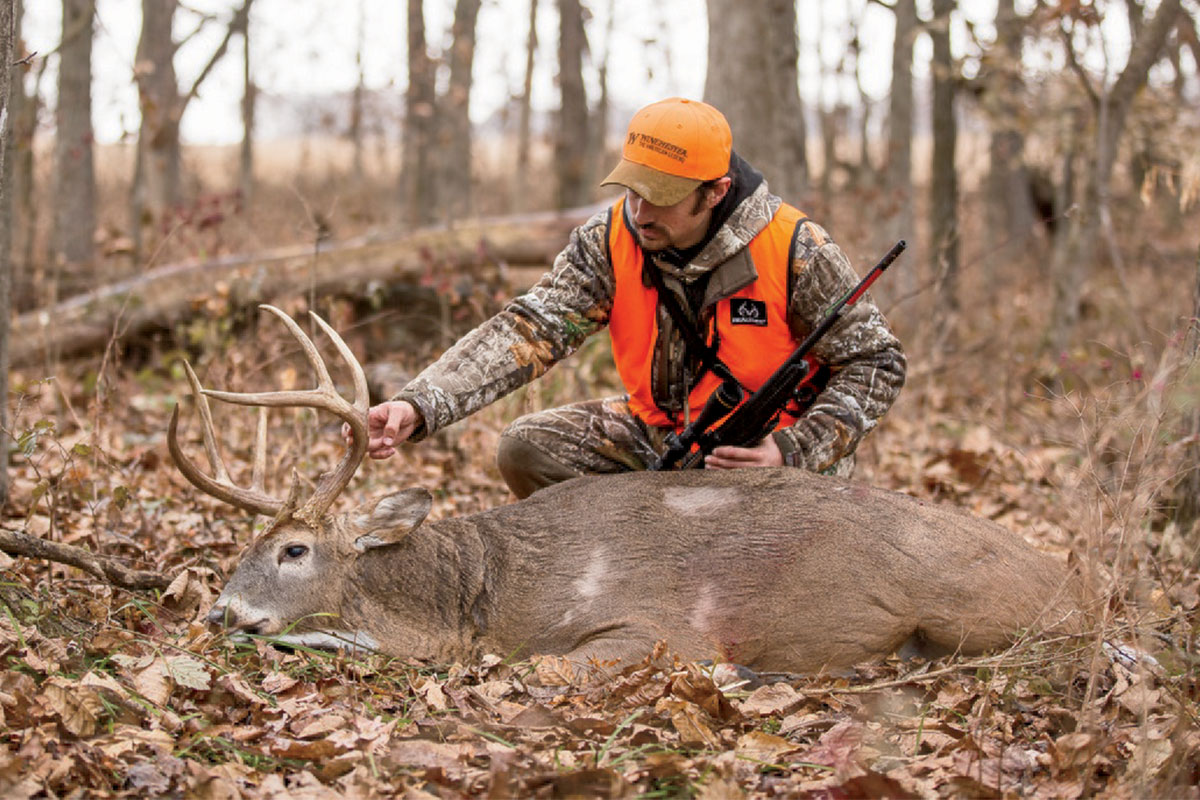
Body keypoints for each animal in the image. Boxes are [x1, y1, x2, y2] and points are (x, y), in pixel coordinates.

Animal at [169, 305, 1083, 676]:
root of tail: (1079, 582)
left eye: (294, 549)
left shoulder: (649, 628)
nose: (217, 612)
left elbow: (538, 669)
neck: (482, 591)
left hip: (968, 604)